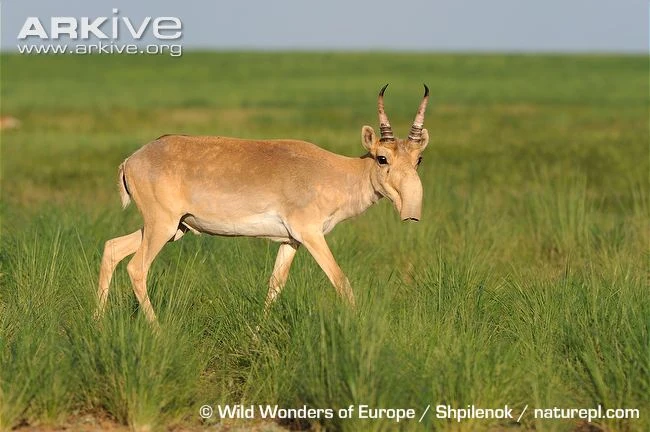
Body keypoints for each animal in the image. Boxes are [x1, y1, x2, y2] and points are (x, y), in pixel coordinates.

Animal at [97, 84, 430, 323]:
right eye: (382, 158)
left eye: (418, 159)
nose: (412, 213)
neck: (337, 171)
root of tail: (132, 160)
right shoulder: (311, 235)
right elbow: (341, 281)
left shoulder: (291, 241)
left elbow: (275, 285)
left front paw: (257, 334)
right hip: (162, 227)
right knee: (136, 268)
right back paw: (158, 331)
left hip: (174, 228)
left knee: (112, 248)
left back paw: (98, 323)